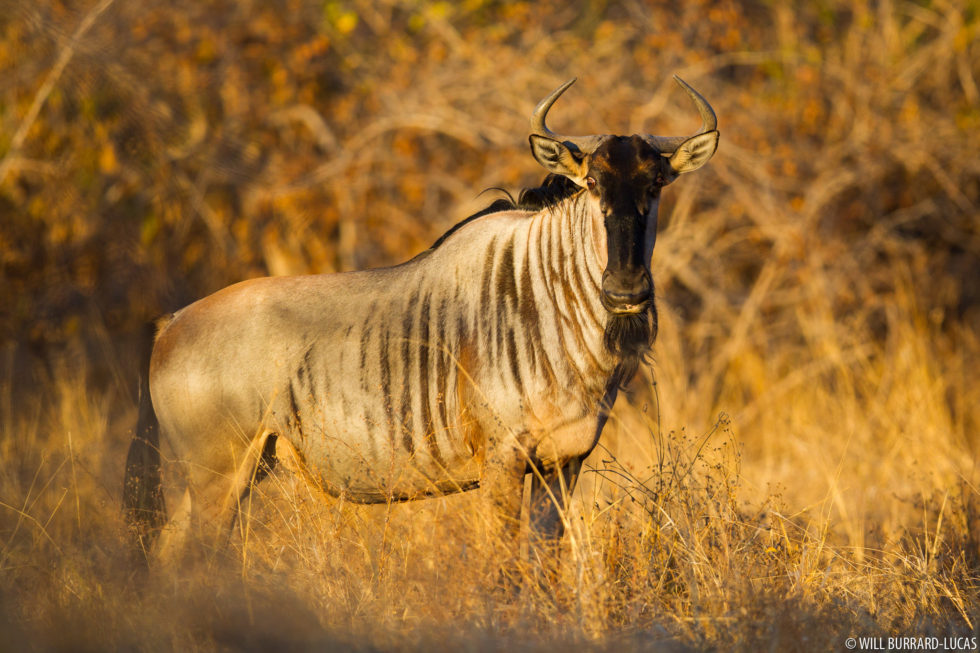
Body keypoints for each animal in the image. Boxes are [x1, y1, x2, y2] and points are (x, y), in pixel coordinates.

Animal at [123, 76, 719, 562]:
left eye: (656, 184)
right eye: (592, 184)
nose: (626, 291)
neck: (549, 302)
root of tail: (169, 325)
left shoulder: (562, 465)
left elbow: (544, 564)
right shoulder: (503, 463)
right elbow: (504, 568)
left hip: (211, 480)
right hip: (215, 478)